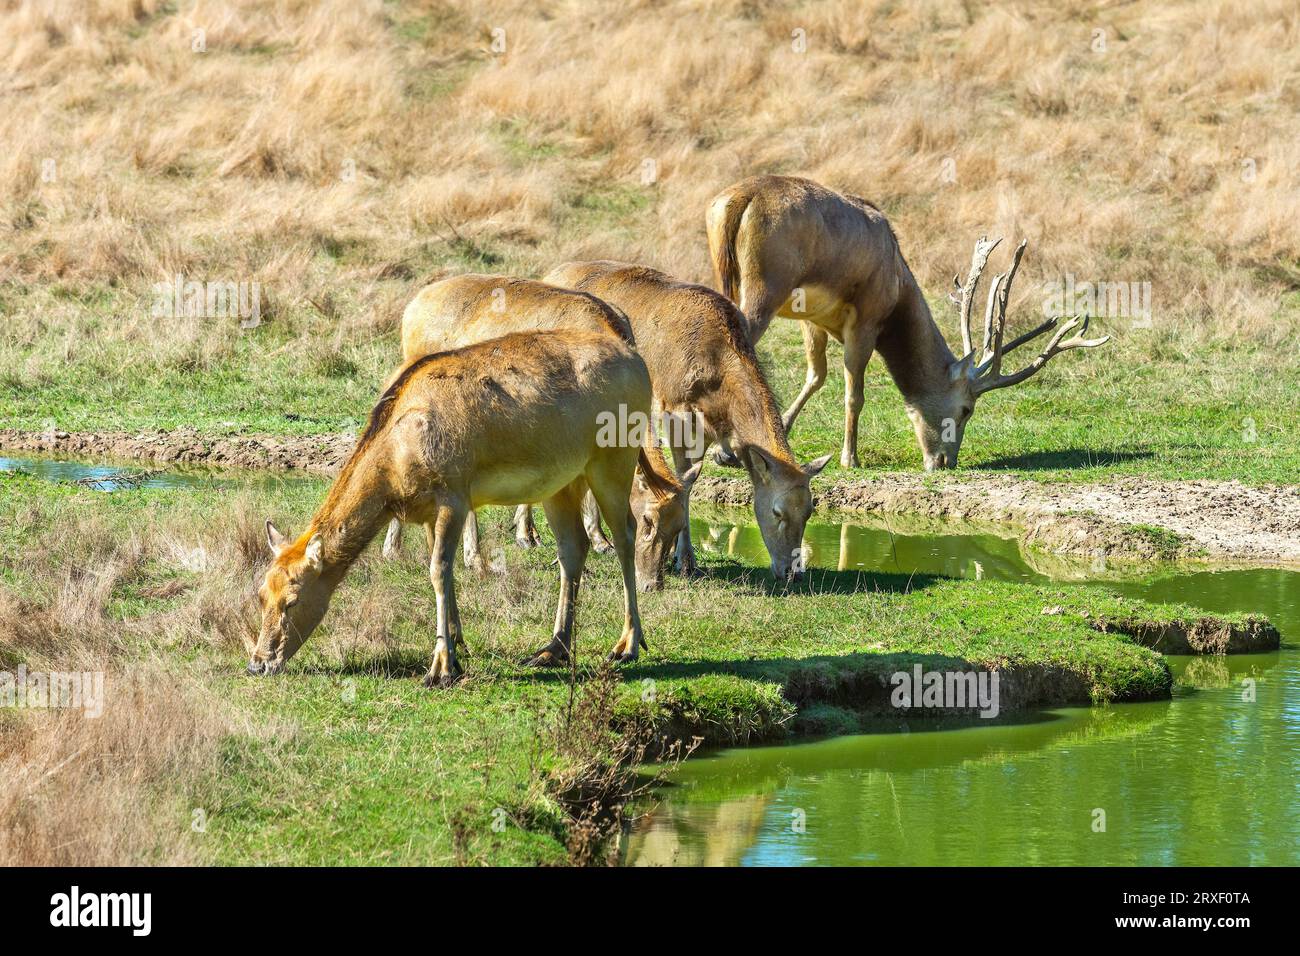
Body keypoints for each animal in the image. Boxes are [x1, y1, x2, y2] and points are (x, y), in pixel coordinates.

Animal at [249, 329, 666, 686]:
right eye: (261, 594)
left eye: (292, 601)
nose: (259, 663)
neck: (395, 466)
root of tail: (640, 363)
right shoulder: (428, 510)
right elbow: (442, 570)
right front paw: (457, 646)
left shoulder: (454, 494)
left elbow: (437, 570)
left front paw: (441, 668)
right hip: (562, 481)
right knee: (572, 548)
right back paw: (552, 649)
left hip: (614, 458)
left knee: (626, 534)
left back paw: (628, 645)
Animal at [543, 261, 832, 582]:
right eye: (777, 512)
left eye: (809, 511)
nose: (793, 572)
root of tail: (550, 272)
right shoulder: (673, 413)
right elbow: (683, 478)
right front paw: (684, 559)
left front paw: (675, 554)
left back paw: (599, 540)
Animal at [706, 175, 1110, 471]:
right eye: (966, 409)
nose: (945, 462)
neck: (898, 288)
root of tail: (737, 200)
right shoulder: (867, 317)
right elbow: (854, 392)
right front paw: (850, 458)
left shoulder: (812, 318)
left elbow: (815, 376)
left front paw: (783, 433)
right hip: (768, 286)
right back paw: (719, 450)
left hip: (728, 279)